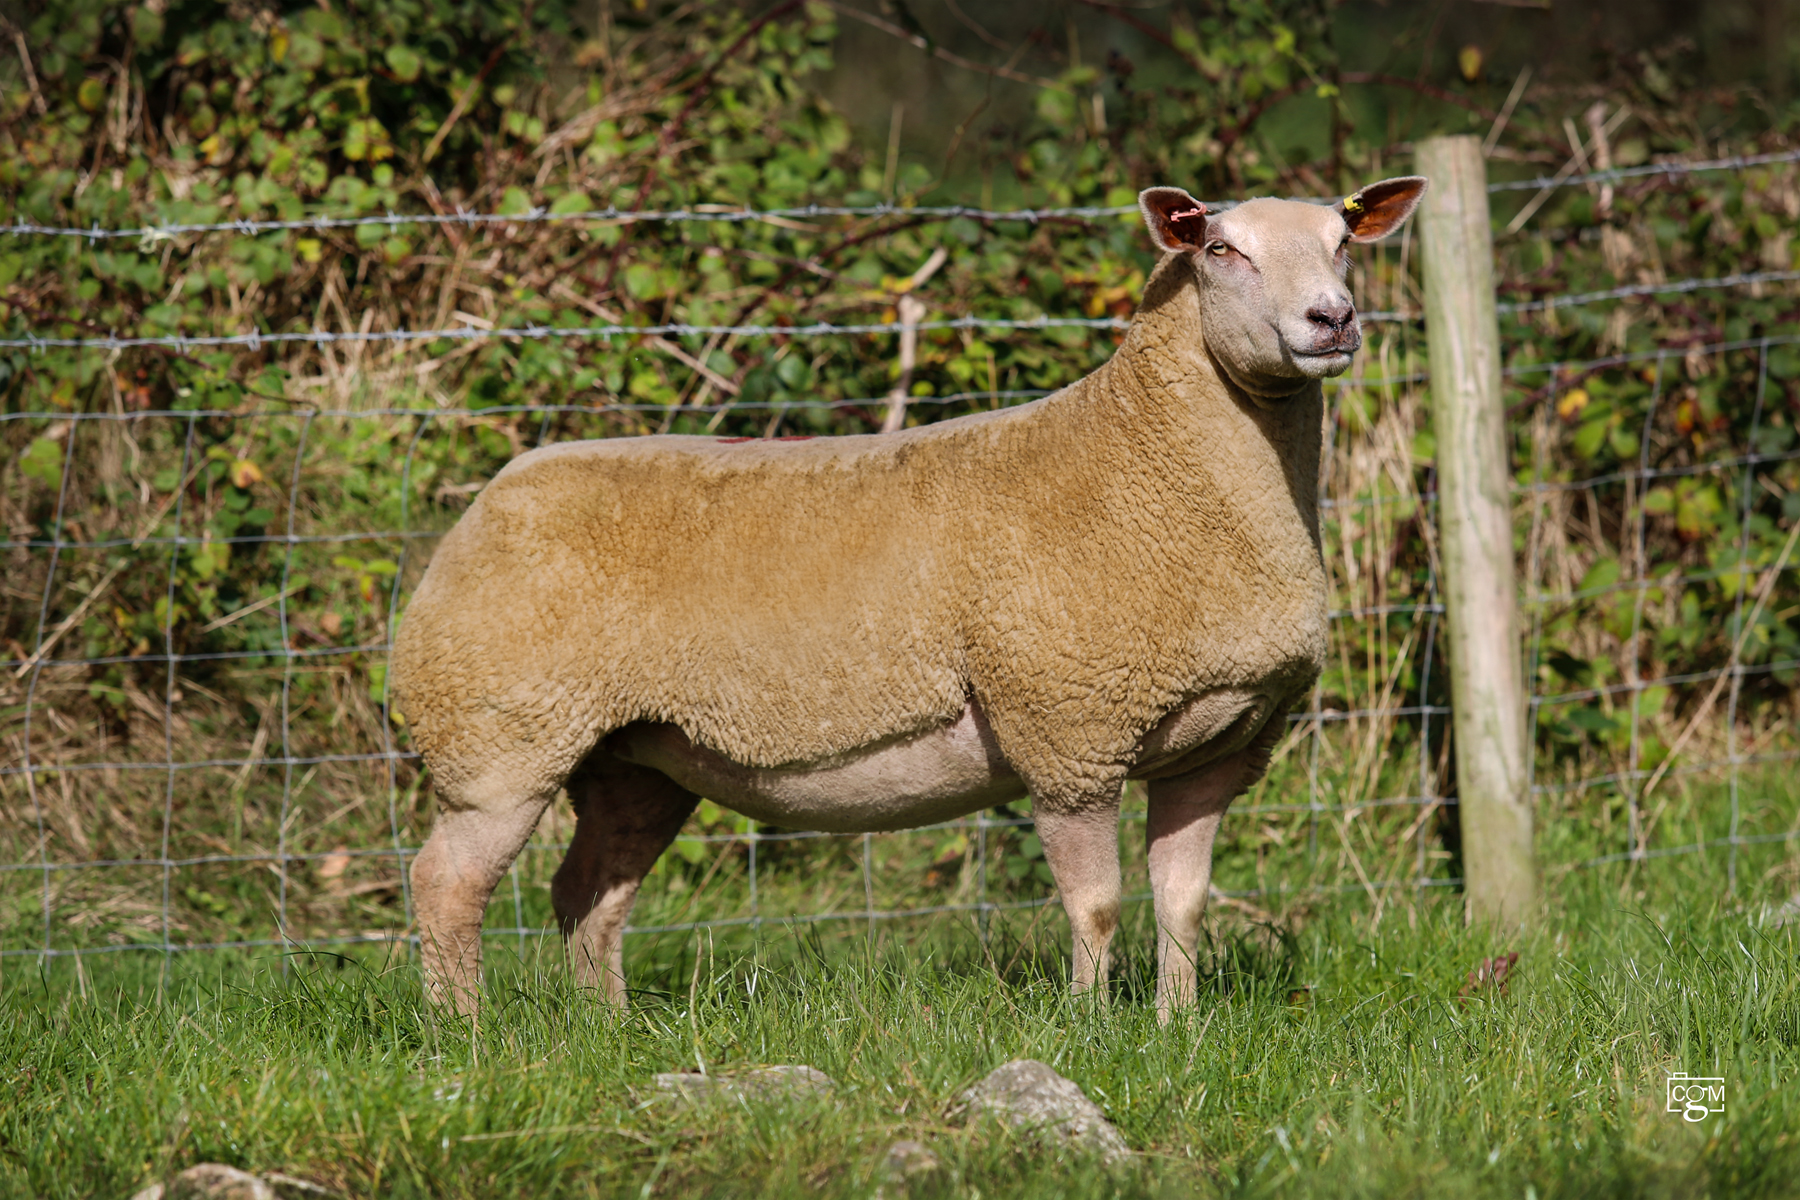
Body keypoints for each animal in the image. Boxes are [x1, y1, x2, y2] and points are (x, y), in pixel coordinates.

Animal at [391, 176, 1428, 1020]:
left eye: (1344, 241)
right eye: (1220, 250)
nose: (1332, 319)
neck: (1150, 462)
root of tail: (484, 503)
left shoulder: (1216, 746)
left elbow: (1183, 903)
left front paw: (1180, 1028)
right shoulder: (1068, 730)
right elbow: (1095, 906)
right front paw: (1092, 1030)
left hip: (632, 756)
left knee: (588, 893)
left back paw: (603, 1030)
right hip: (500, 735)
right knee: (445, 883)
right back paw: (463, 1036)